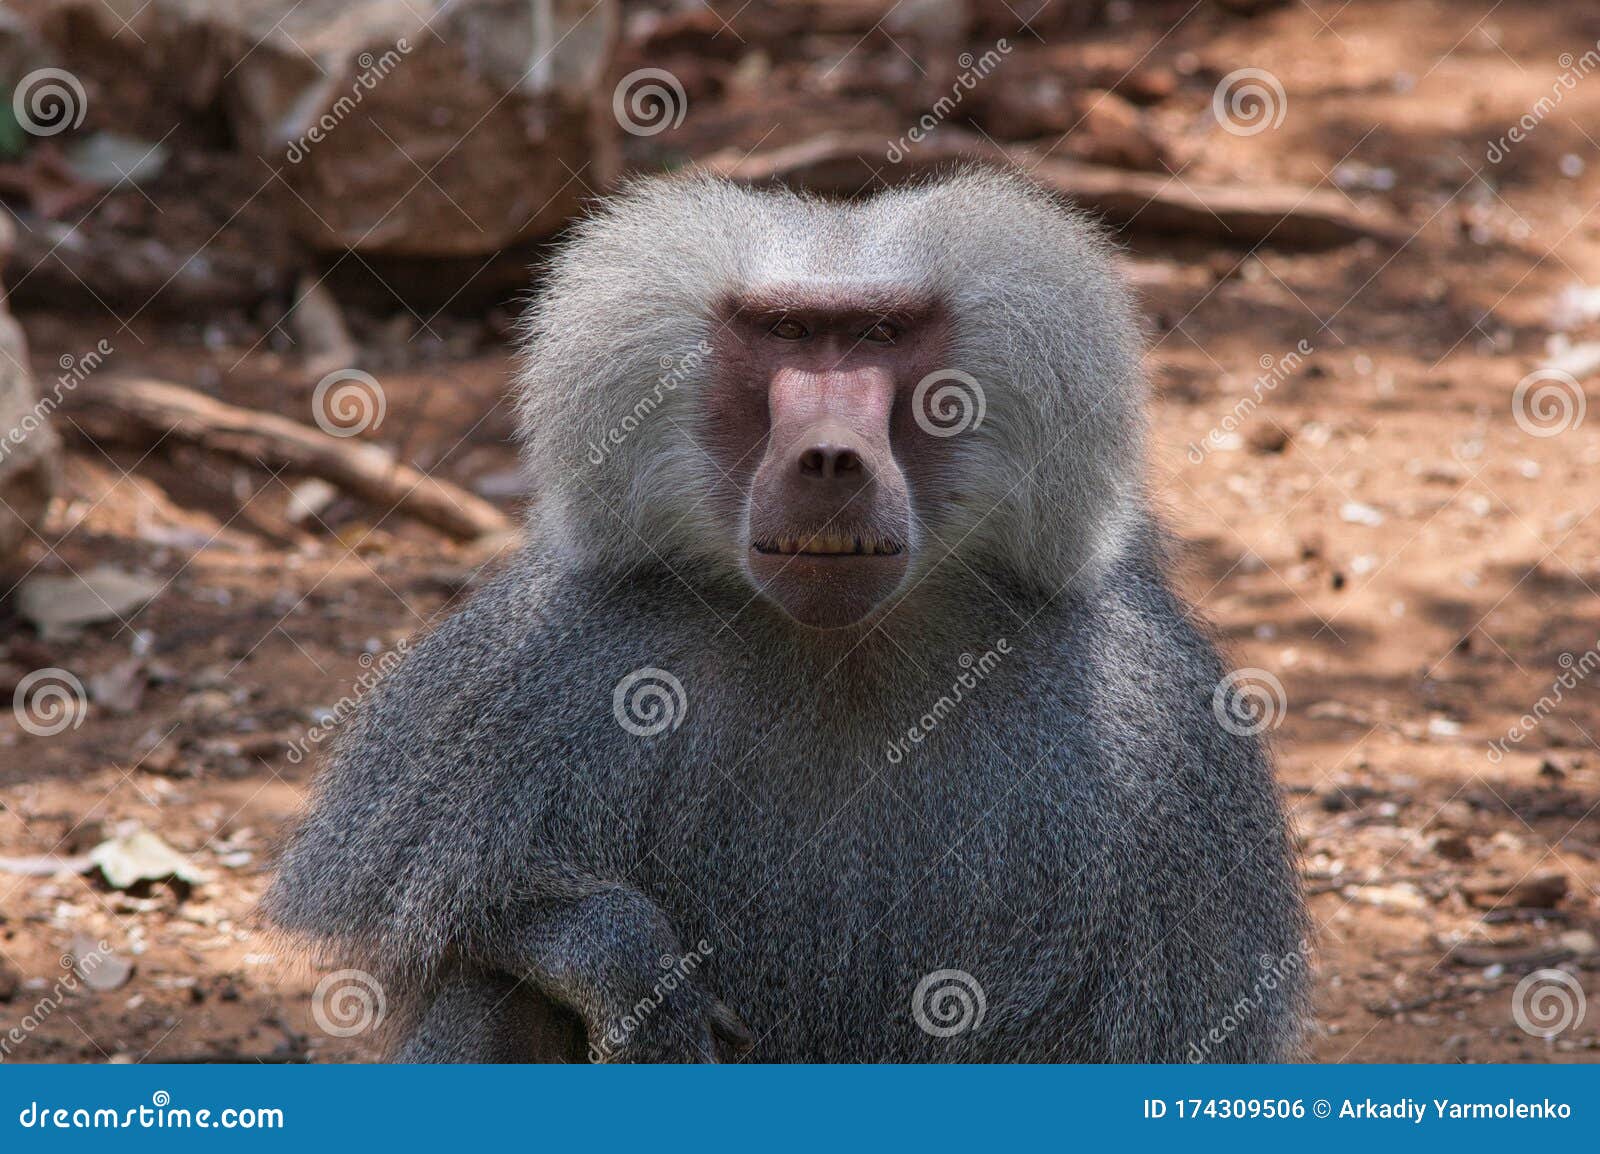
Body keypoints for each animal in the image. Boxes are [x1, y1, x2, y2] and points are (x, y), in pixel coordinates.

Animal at [264, 167, 1310, 1062]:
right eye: (788, 333)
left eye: (881, 335)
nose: (830, 459)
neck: (843, 649)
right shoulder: (544, 663)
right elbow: (430, 908)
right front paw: (630, 968)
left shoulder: (1152, 735)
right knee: (498, 992)